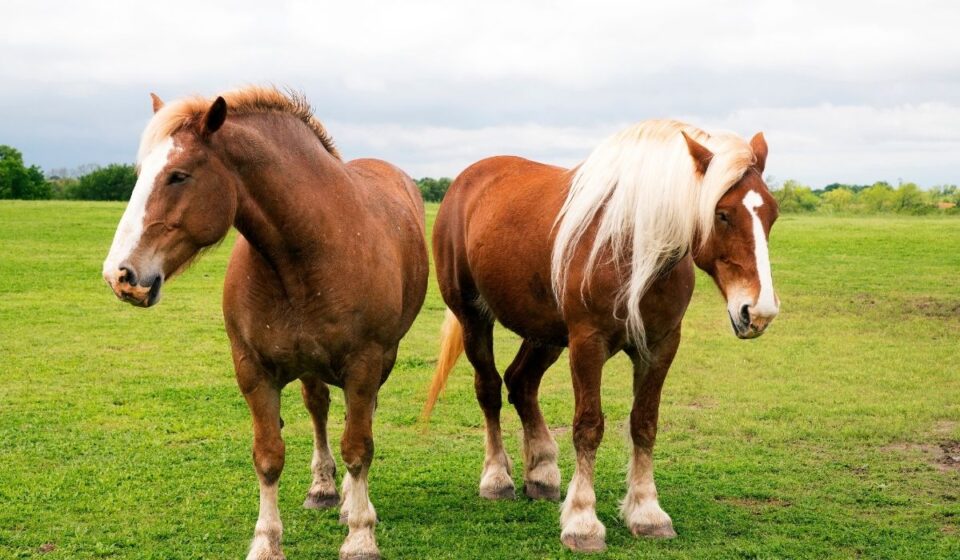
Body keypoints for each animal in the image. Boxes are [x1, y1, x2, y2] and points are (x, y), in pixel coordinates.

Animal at [103, 87, 428, 560]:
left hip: (380, 362)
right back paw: (323, 489)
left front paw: (360, 535)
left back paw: (352, 504)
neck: (307, 252)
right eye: (142, 173)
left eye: (178, 176)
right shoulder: (253, 370)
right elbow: (269, 456)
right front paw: (266, 542)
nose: (120, 275)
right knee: (318, 408)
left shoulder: (364, 366)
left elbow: (358, 447)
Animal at [422, 120, 780, 552]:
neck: (634, 247)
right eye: (723, 214)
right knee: (489, 388)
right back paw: (497, 477)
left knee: (521, 383)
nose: (758, 312)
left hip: (545, 333)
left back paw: (541, 471)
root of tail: (466, 181)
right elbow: (588, 427)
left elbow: (644, 423)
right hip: (474, 317)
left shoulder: (660, 346)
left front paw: (647, 512)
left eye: (772, 214)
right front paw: (582, 521)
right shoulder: (587, 344)